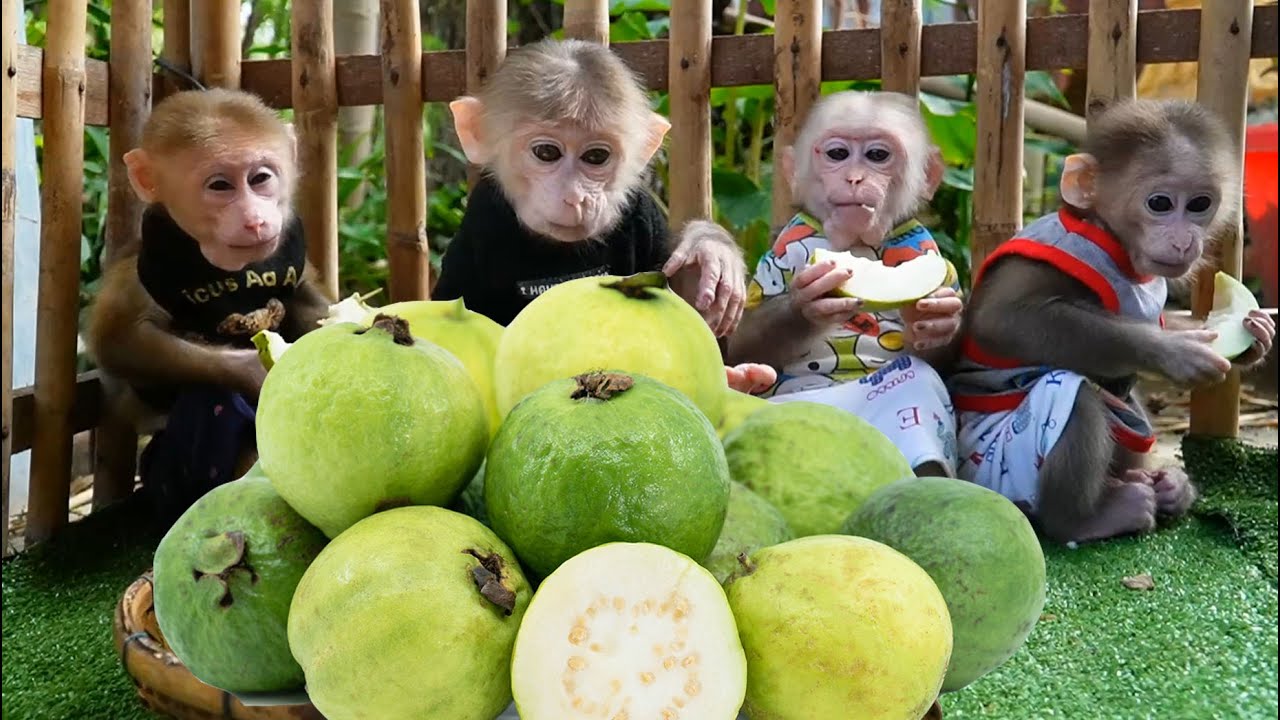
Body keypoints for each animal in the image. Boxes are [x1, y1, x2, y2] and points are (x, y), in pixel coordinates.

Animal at [85, 88, 335, 520]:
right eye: (220, 186)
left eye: (260, 179)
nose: (255, 220)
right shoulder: (144, 271)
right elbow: (118, 340)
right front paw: (254, 371)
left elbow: (306, 302)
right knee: (213, 400)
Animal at [726, 90, 965, 477]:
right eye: (838, 154)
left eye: (877, 155)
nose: (854, 178)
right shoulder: (780, 253)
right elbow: (746, 341)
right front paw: (806, 307)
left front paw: (939, 321)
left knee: (912, 380)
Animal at [947, 98, 1276, 544]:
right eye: (1160, 203)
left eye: (1199, 205)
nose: (1184, 241)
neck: (1114, 242)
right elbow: (1001, 318)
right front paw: (1171, 351)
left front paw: (1257, 336)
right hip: (997, 463)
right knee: (1079, 398)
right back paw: (1085, 520)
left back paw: (1170, 489)